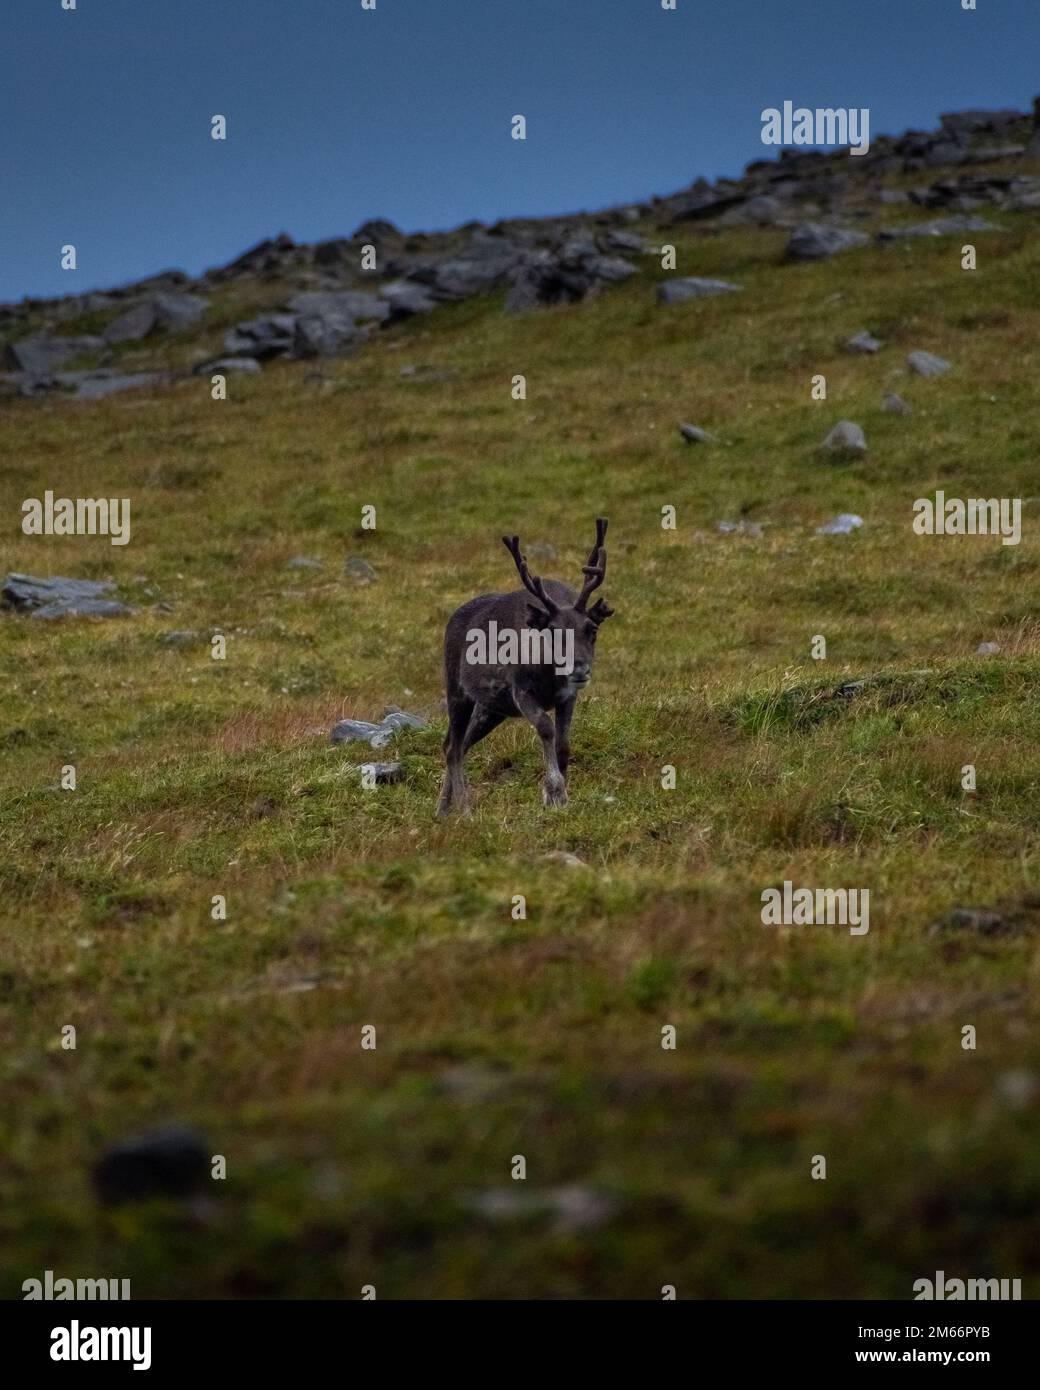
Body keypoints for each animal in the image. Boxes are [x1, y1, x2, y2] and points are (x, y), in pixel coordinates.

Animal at [437, 518, 614, 816]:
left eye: (592, 629)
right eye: (552, 630)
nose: (579, 670)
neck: (548, 676)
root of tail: (454, 618)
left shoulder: (568, 696)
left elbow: (564, 743)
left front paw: (560, 795)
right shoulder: (521, 691)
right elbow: (546, 728)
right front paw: (554, 792)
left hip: (491, 709)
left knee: (458, 744)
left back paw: (442, 810)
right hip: (457, 691)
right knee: (453, 748)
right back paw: (464, 810)